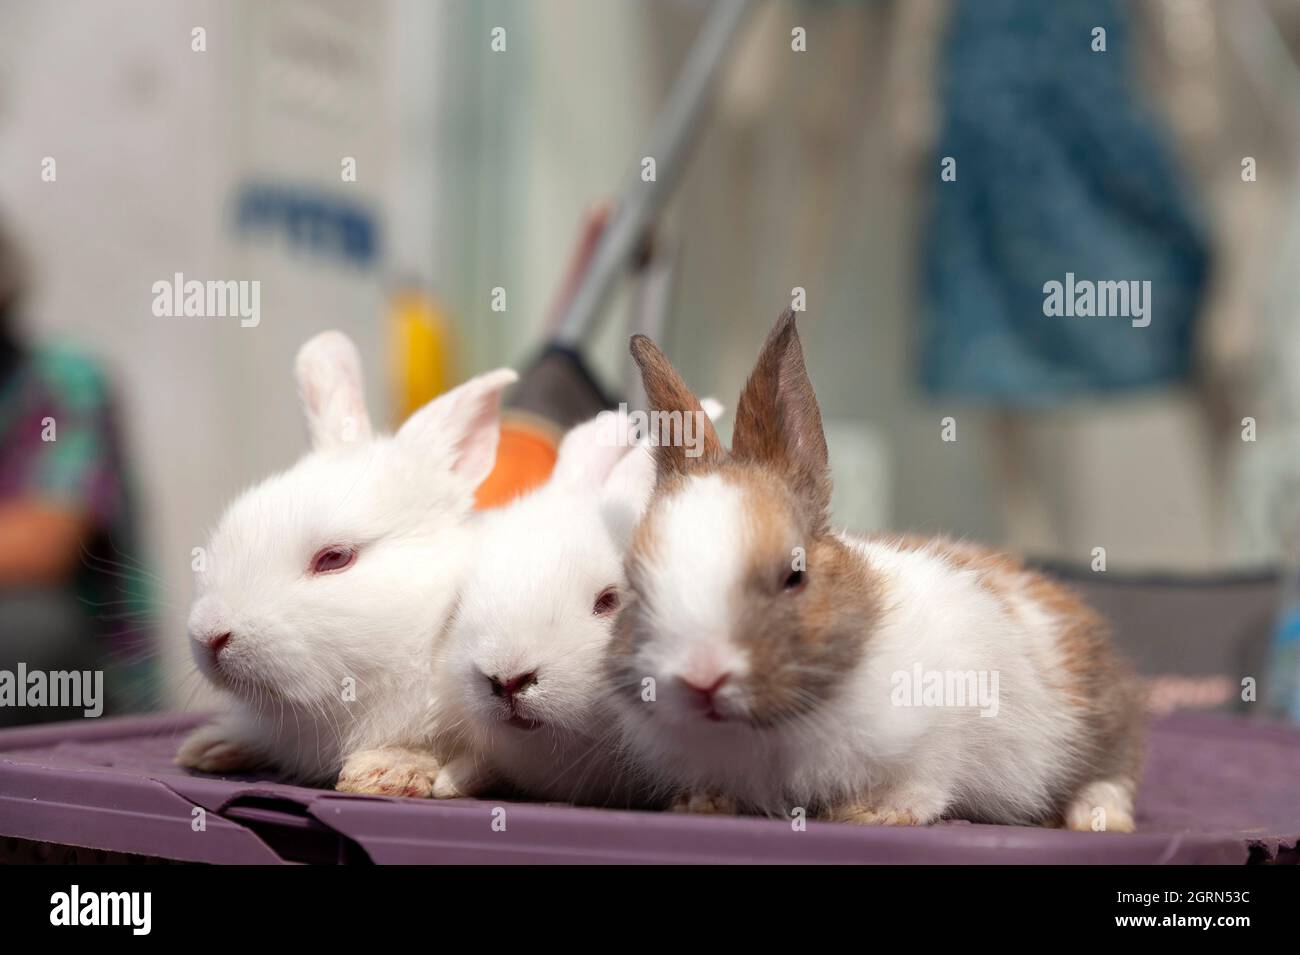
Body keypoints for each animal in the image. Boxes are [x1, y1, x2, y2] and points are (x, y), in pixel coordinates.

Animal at [607, 309, 1146, 831]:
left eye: (794, 576)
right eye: (634, 588)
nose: (702, 677)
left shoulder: (944, 732)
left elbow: (926, 781)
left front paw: (875, 813)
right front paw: (699, 805)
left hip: (1099, 721)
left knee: (1116, 770)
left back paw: (1096, 818)